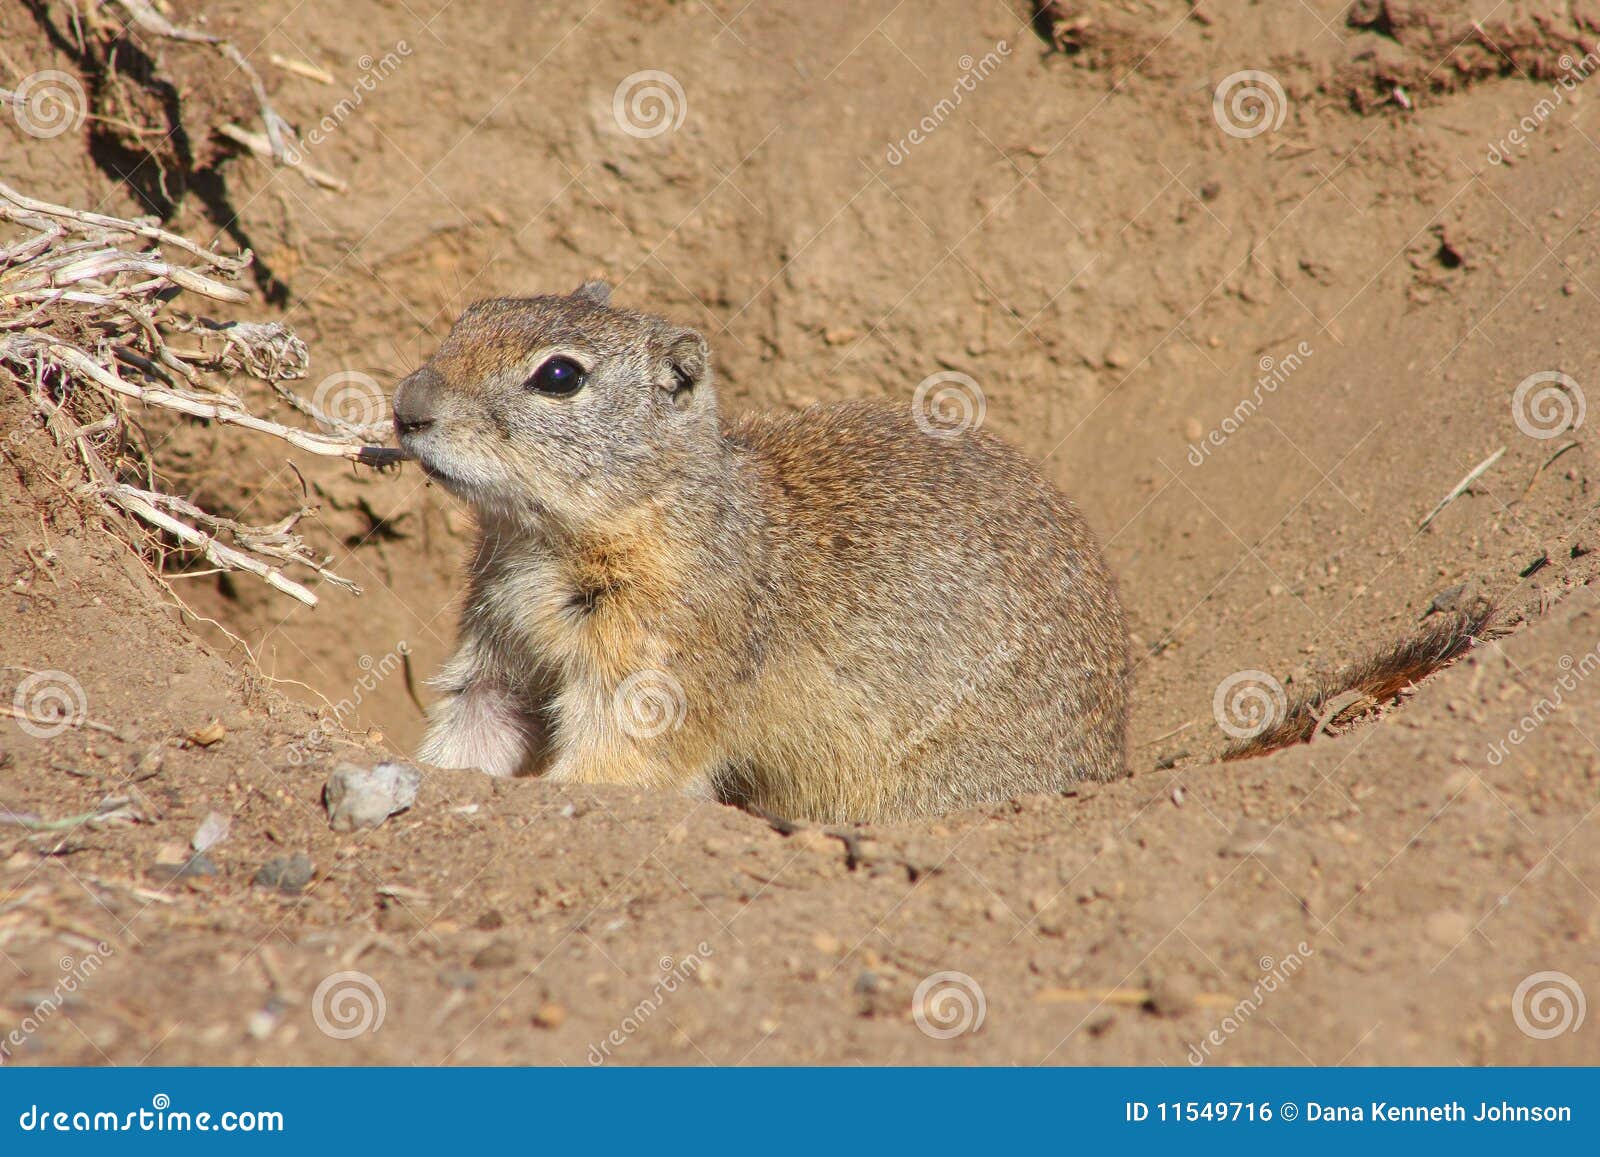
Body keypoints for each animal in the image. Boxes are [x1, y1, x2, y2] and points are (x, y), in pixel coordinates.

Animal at [390, 281, 1130, 823]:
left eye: (560, 374)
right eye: (473, 314)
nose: (406, 406)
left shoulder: (658, 659)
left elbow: (623, 755)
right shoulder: (497, 649)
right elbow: (476, 722)